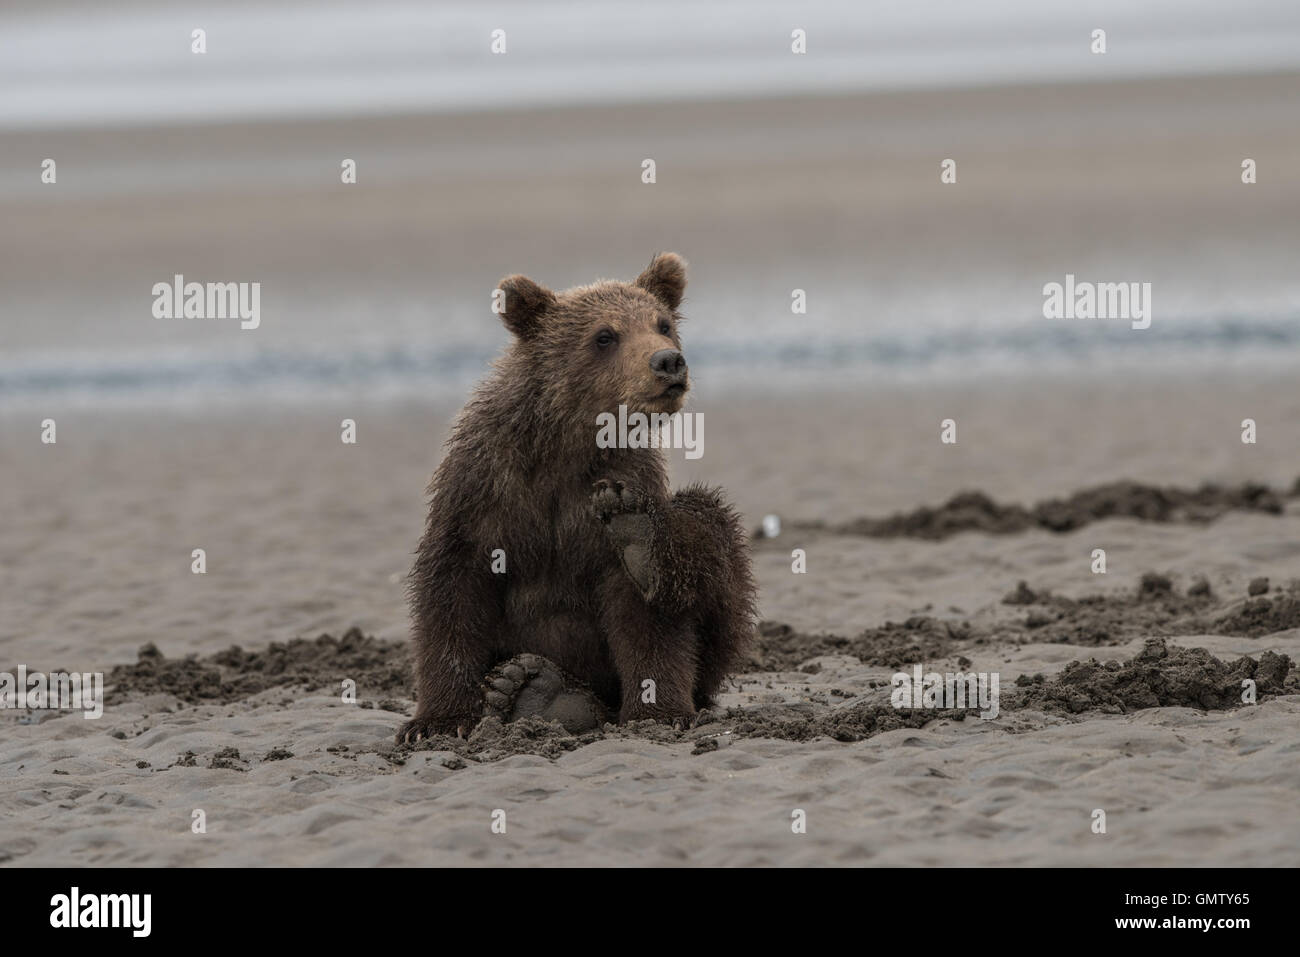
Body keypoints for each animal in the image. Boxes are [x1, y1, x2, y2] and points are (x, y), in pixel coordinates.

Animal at [397, 253, 757, 743]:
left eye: (662, 324)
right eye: (605, 335)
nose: (668, 361)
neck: (566, 449)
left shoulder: (623, 484)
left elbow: (646, 615)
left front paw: (660, 712)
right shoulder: (482, 492)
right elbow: (453, 594)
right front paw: (435, 722)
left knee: (705, 526)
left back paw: (546, 693)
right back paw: (535, 692)